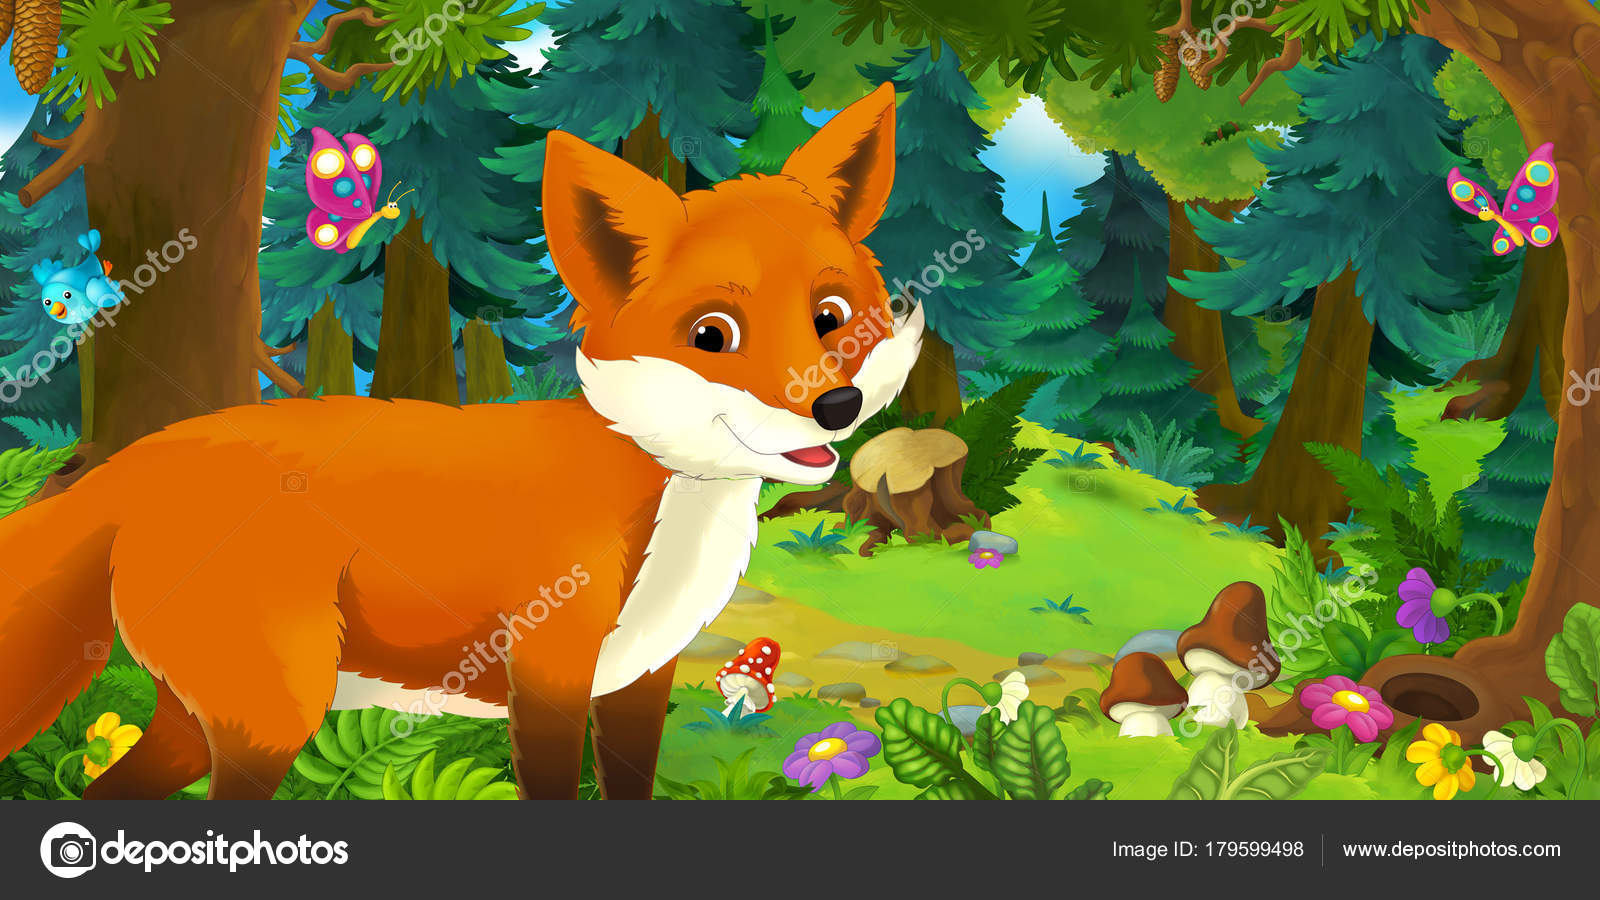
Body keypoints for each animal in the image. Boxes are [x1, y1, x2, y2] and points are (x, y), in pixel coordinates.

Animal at [0, 83, 923, 800]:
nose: (837, 406)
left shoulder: (634, 682)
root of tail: (144, 452)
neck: (666, 517)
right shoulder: (548, 673)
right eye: (713, 335)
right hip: (274, 717)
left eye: (830, 316)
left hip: (204, 723)